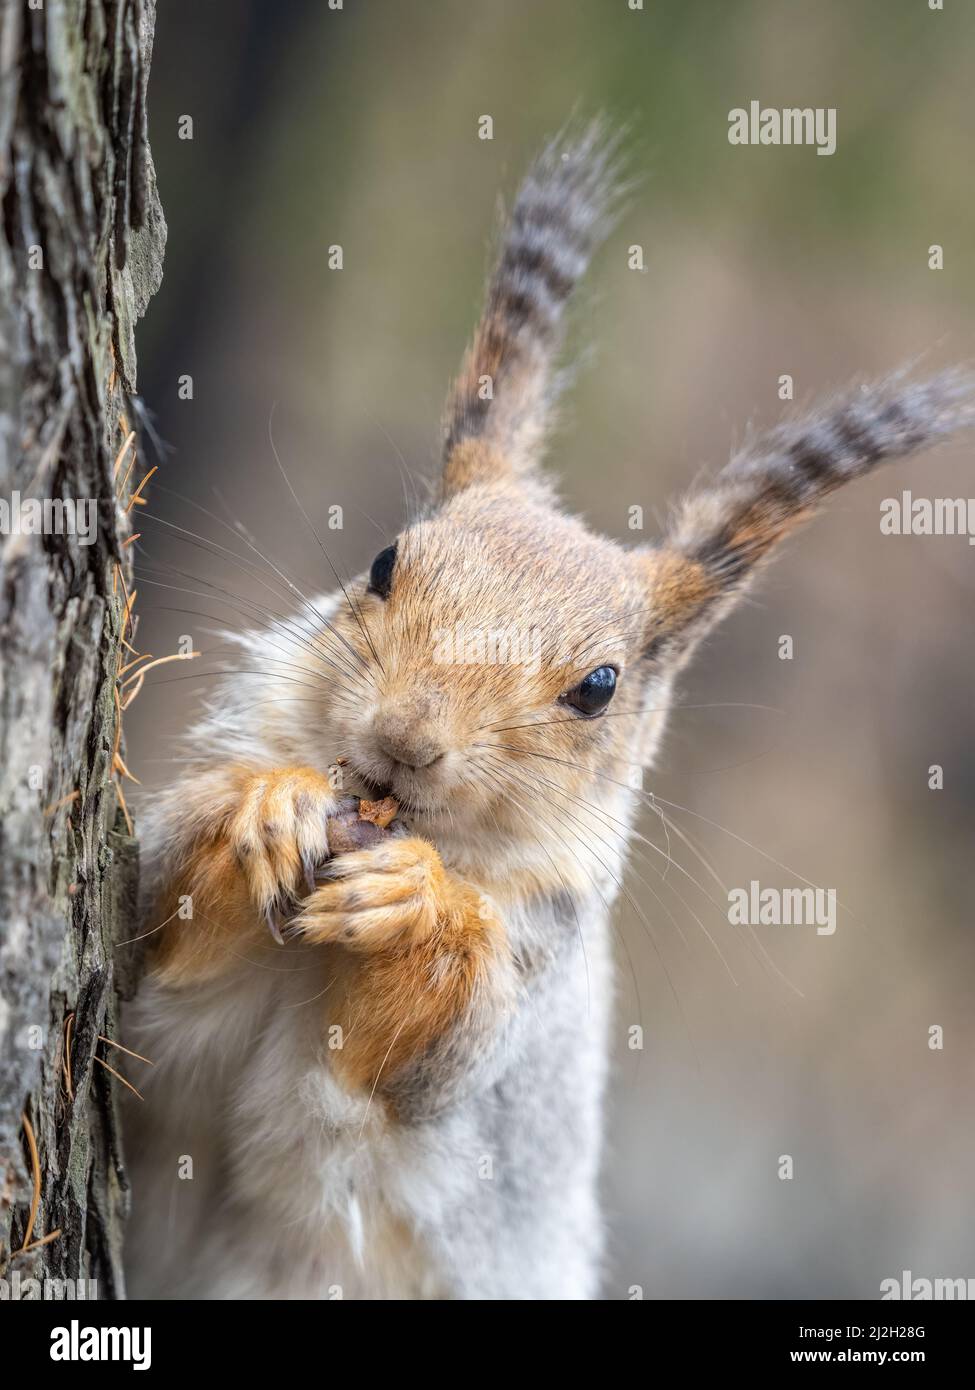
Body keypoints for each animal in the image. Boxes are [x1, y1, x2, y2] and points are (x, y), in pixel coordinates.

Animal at [125, 120, 974, 1300]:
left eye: (599, 687)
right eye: (382, 560)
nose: (404, 740)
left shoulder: (524, 979)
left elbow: (426, 1054)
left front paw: (419, 906)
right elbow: (160, 897)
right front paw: (262, 810)